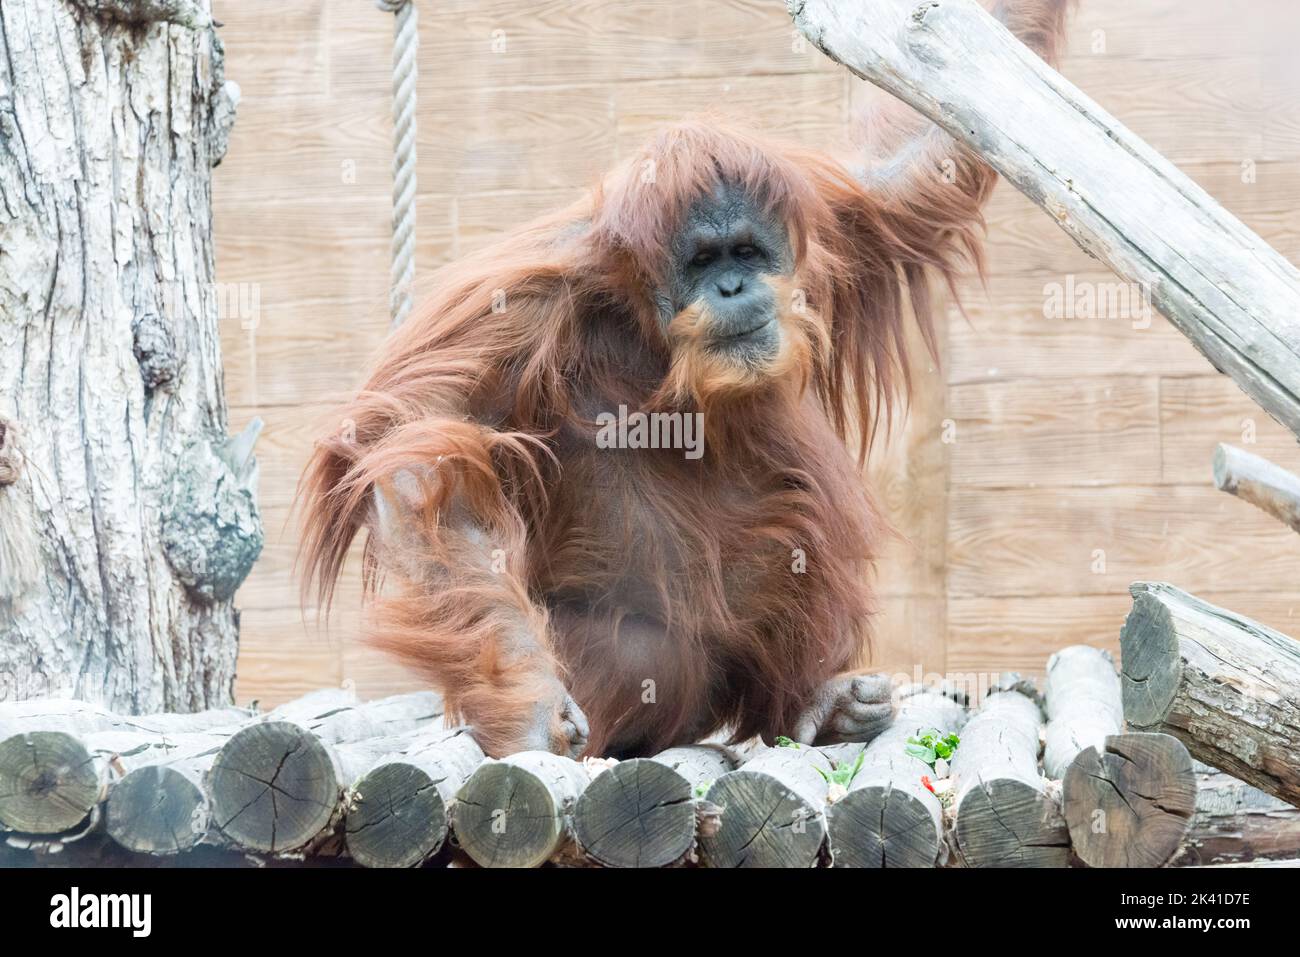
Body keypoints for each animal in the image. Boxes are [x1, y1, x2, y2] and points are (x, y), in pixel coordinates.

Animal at [298, 0, 1072, 759]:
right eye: (703, 261)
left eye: (747, 252)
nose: (733, 286)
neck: (639, 313)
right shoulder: (520, 294)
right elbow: (415, 442)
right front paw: (530, 708)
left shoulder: (828, 218)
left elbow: (918, 160)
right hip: (629, 668)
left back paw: (812, 703)